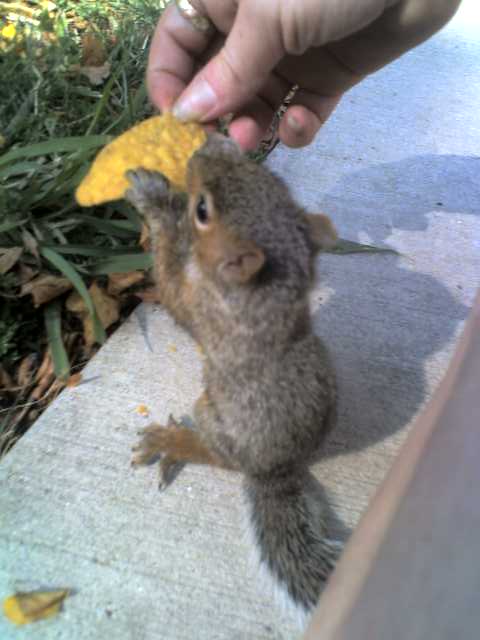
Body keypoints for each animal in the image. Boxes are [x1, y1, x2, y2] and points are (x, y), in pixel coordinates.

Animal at [126, 133, 341, 620]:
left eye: (203, 210)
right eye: (271, 179)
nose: (212, 142)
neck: (267, 292)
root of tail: (272, 470)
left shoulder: (198, 305)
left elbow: (169, 278)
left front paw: (153, 199)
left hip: (213, 416)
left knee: (215, 455)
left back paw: (173, 441)